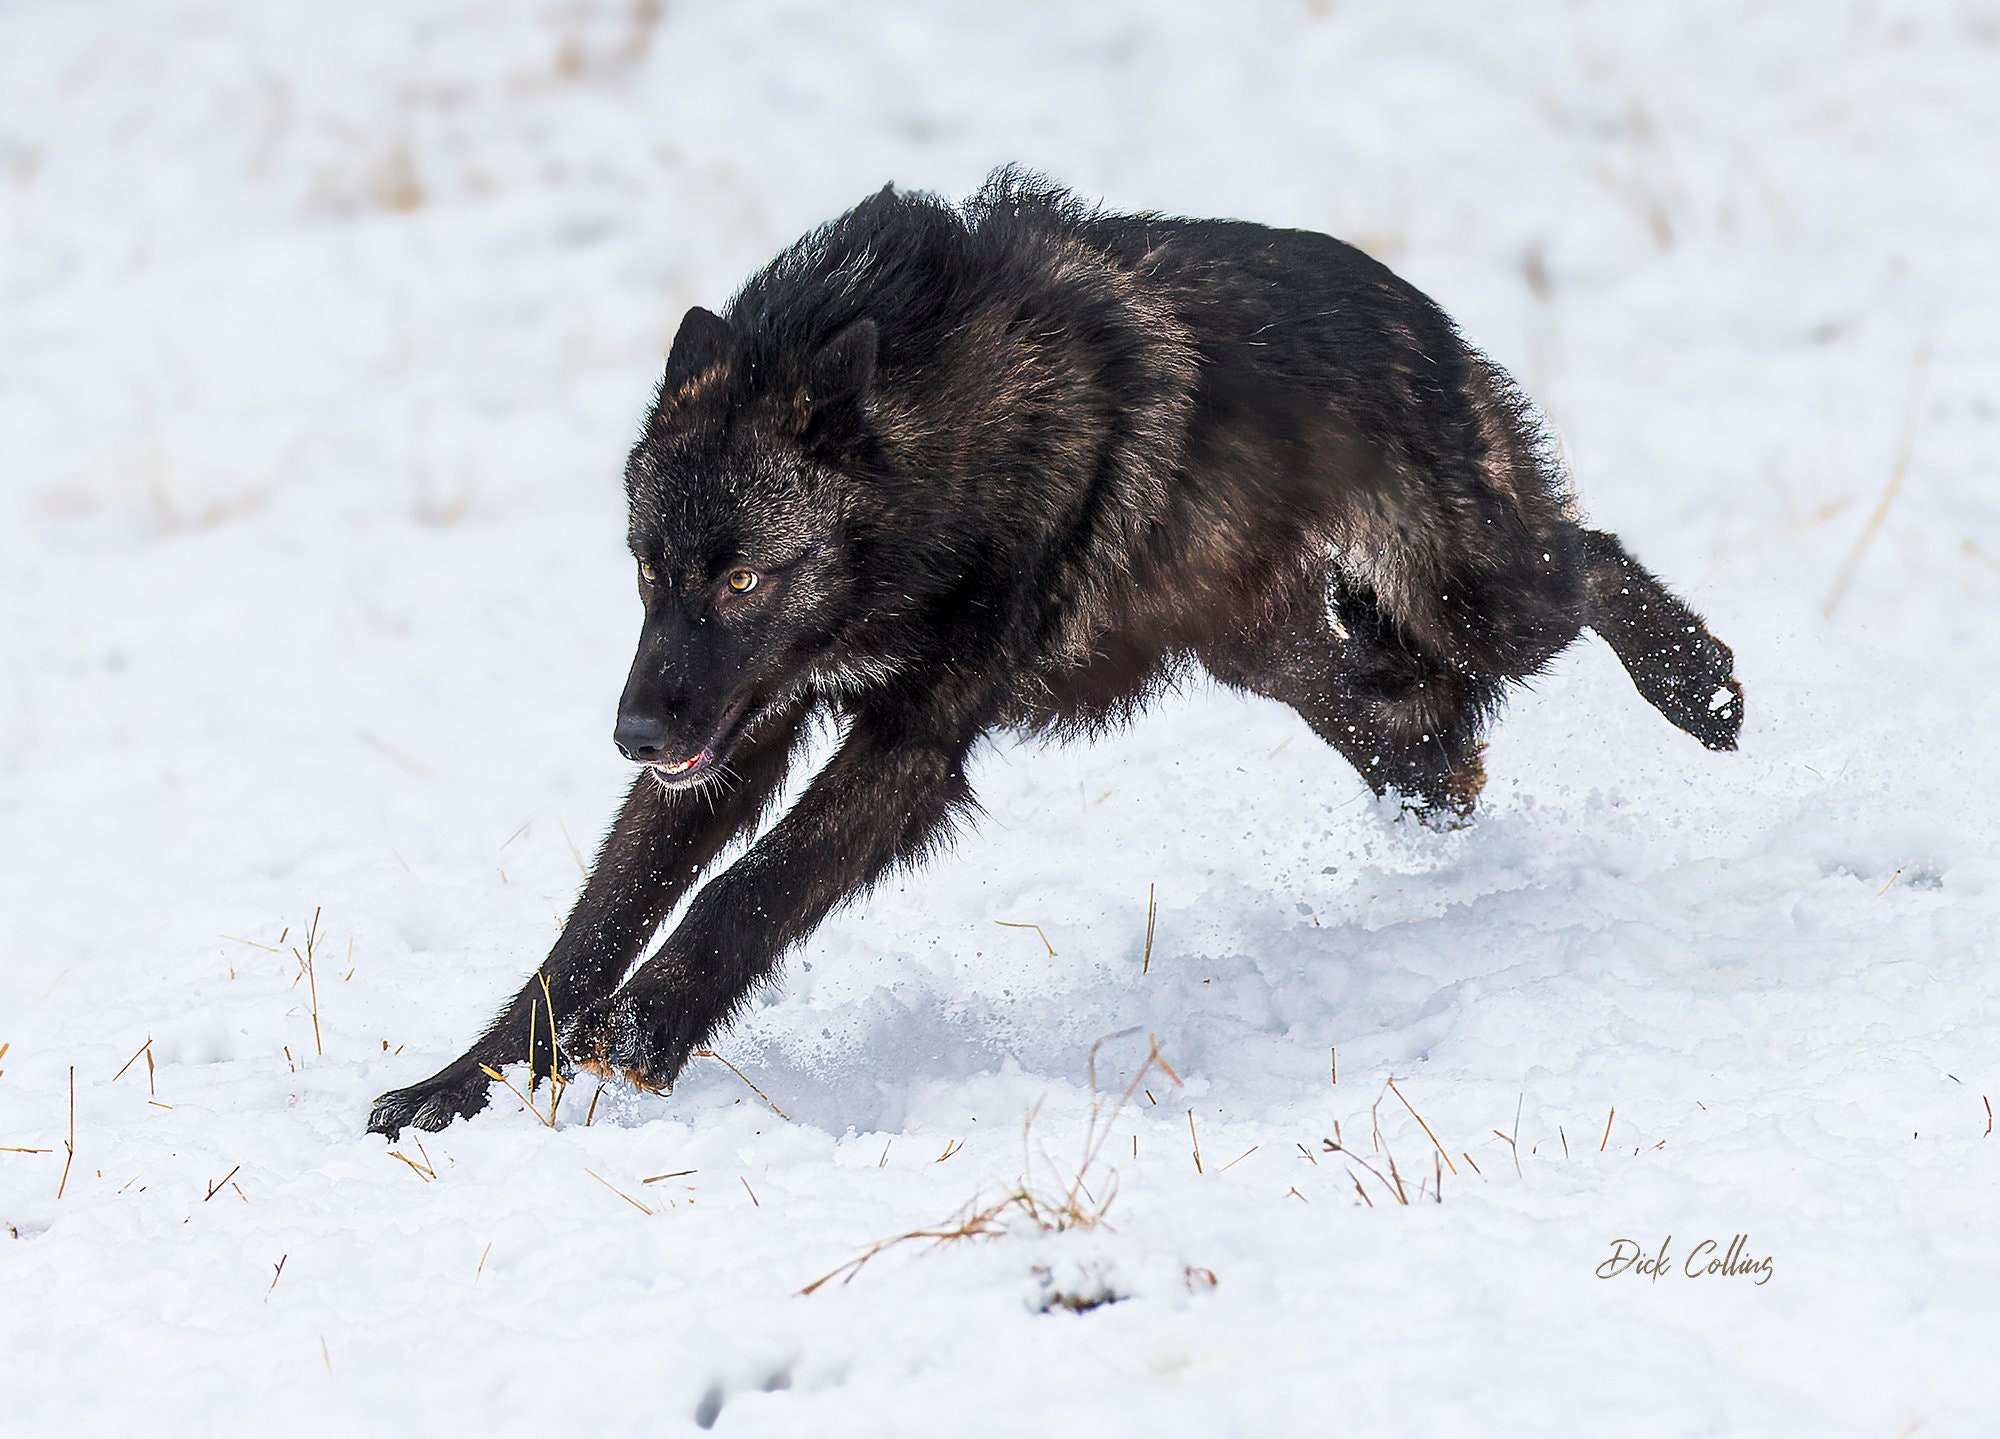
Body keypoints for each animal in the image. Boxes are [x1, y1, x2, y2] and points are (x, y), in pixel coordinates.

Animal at [368, 170, 1742, 1137]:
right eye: (651, 576)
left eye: (744, 578)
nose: (634, 734)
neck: (943, 440)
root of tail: (1416, 305)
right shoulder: (738, 735)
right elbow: (585, 930)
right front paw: (456, 1087)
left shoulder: (906, 745)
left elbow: (740, 892)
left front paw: (646, 1026)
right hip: (1284, 657)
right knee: (1436, 749)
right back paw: (1461, 790)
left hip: (1471, 597)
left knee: (1585, 558)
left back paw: (1702, 686)